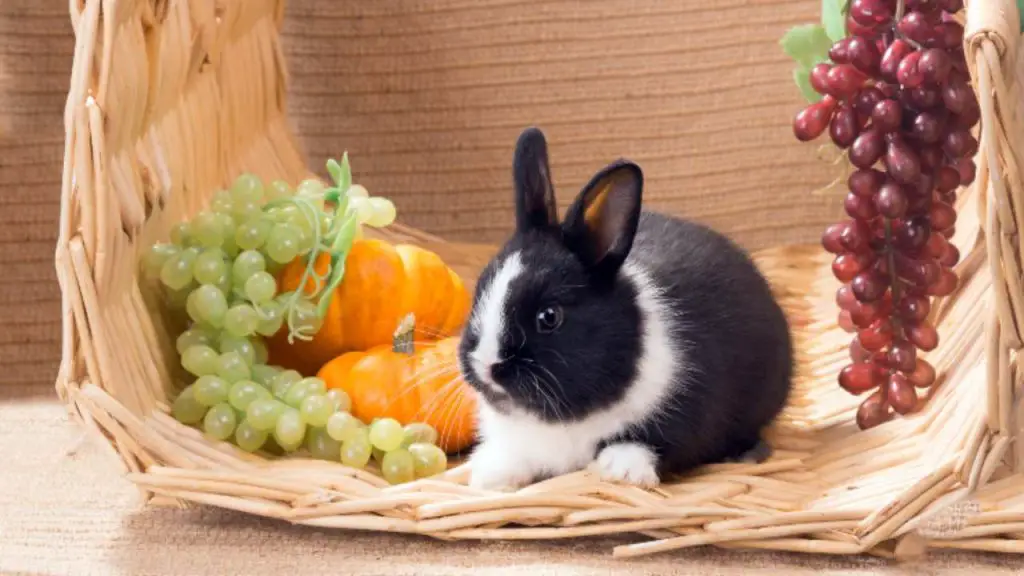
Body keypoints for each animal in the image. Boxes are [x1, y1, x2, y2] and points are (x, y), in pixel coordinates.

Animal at [457, 127, 793, 491]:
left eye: (549, 317)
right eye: (480, 292)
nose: (487, 365)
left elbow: (654, 442)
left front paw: (621, 470)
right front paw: (491, 477)